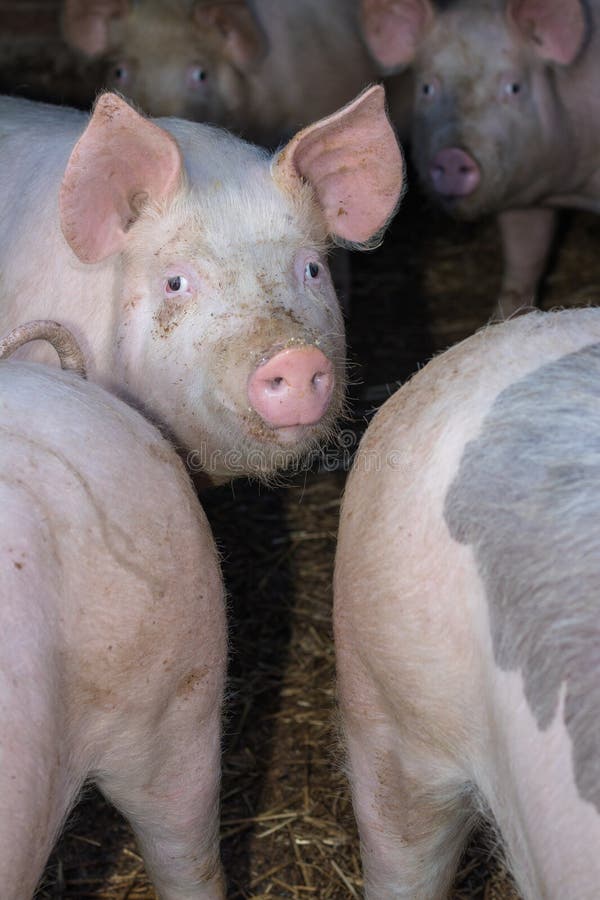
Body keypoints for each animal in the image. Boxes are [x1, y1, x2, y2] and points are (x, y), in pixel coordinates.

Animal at [361, 0, 598, 318]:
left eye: (514, 87)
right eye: (426, 88)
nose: (452, 156)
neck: (567, 187)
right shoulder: (522, 201)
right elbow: (524, 261)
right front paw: (503, 319)